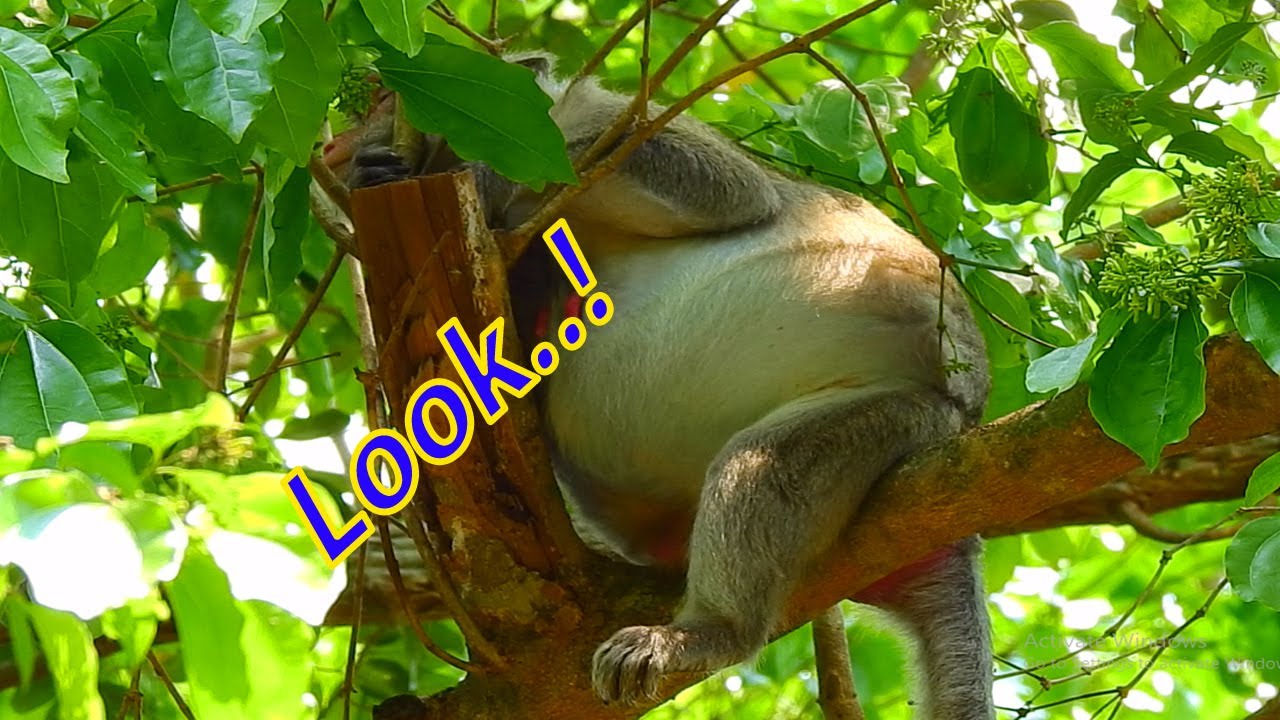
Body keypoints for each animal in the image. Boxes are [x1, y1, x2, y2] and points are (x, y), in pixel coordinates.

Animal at [329, 50, 994, 718]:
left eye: (382, 99)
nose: (337, 144)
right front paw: (376, 174)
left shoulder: (602, 117)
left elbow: (734, 193)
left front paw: (481, 170)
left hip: (910, 418)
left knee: (765, 464)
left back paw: (711, 630)